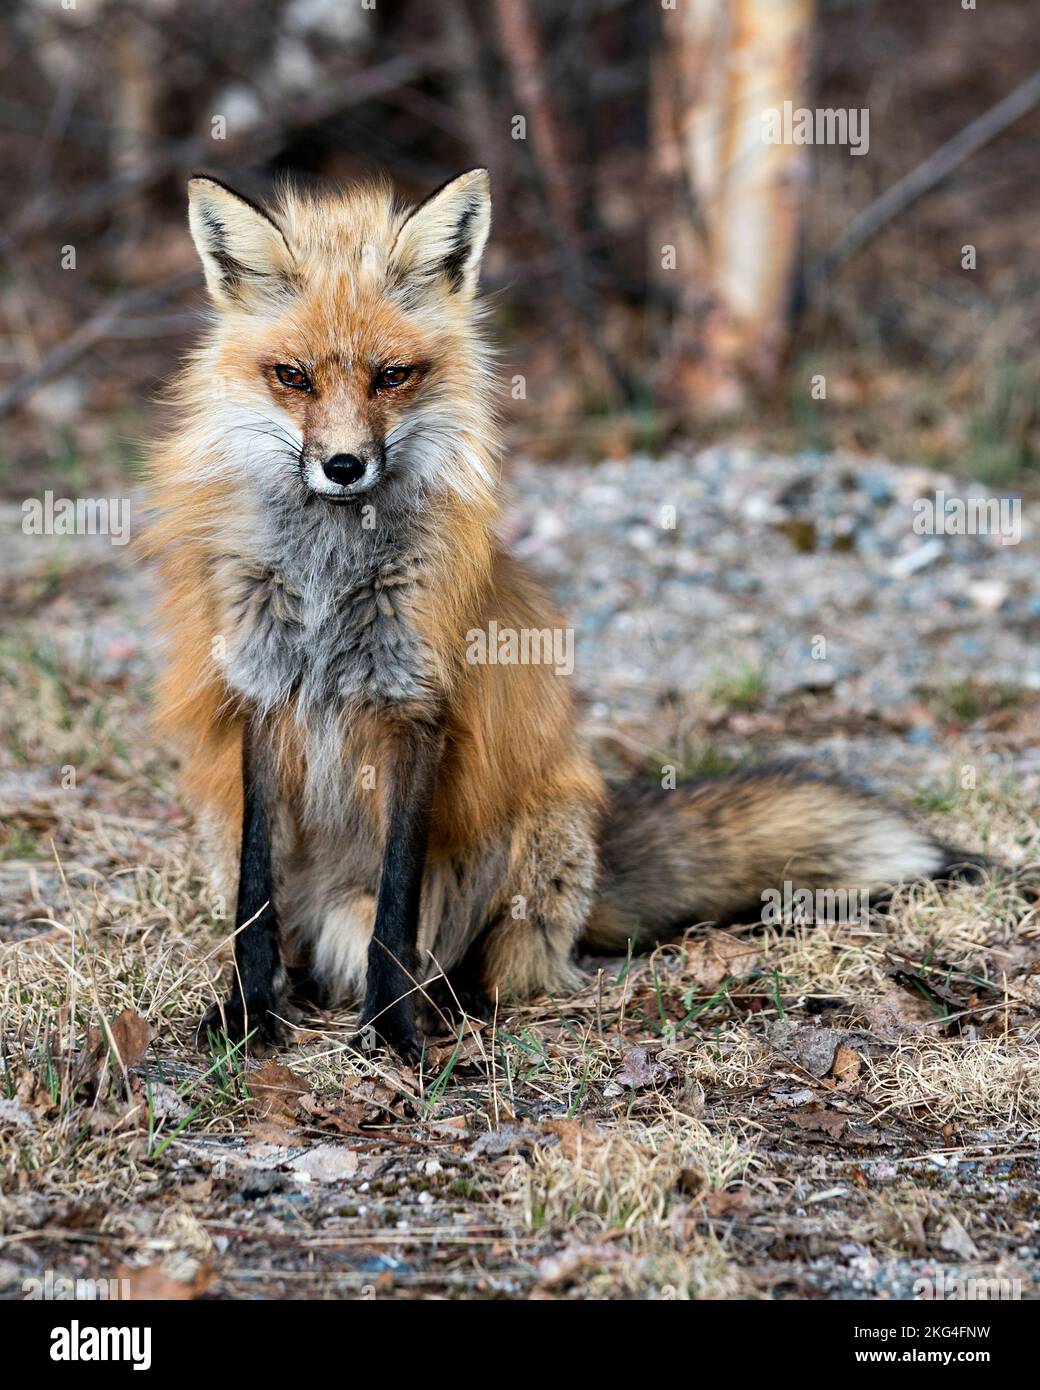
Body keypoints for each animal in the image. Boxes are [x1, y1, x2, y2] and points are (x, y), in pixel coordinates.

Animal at [144, 168, 981, 1061]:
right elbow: (255, 904)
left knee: (486, 966)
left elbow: (395, 917)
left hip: (540, 833)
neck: (333, 587)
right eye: (292, 376)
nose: (343, 466)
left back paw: (447, 1005)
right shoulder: (261, 703)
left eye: (393, 376)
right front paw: (249, 1013)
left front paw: (394, 1032)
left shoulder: (420, 712)